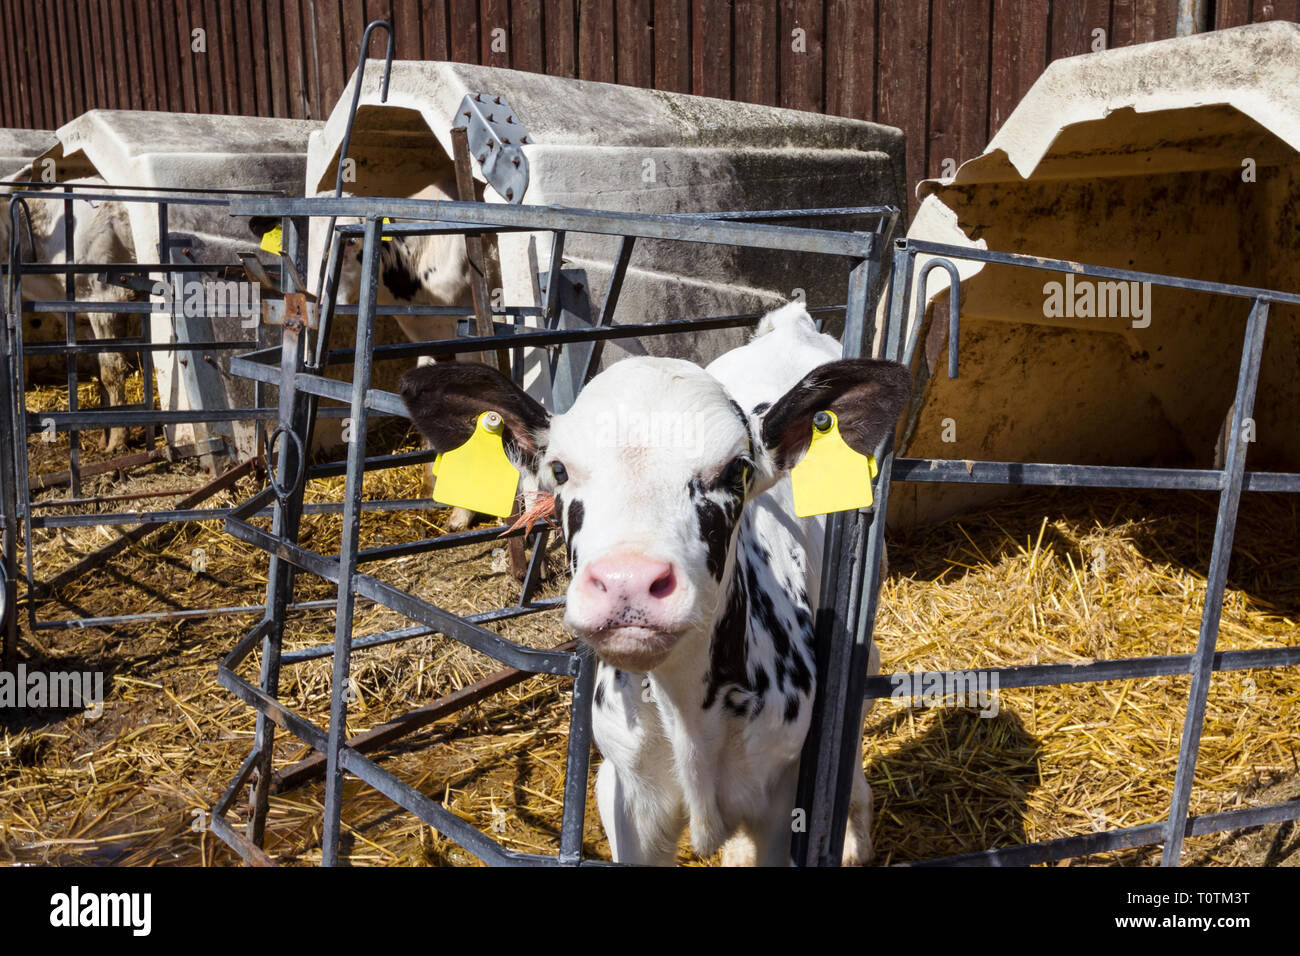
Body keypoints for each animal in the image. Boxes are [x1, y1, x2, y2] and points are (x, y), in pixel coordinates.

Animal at [2, 180, 140, 454]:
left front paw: (118, 441)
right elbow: (98, 370)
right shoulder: (83, 314)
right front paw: (105, 437)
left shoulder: (105, 300)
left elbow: (112, 369)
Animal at [399, 301, 911, 866]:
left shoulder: (781, 796)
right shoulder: (623, 794)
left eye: (737, 470)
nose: (629, 582)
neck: (689, 718)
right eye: (559, 469)